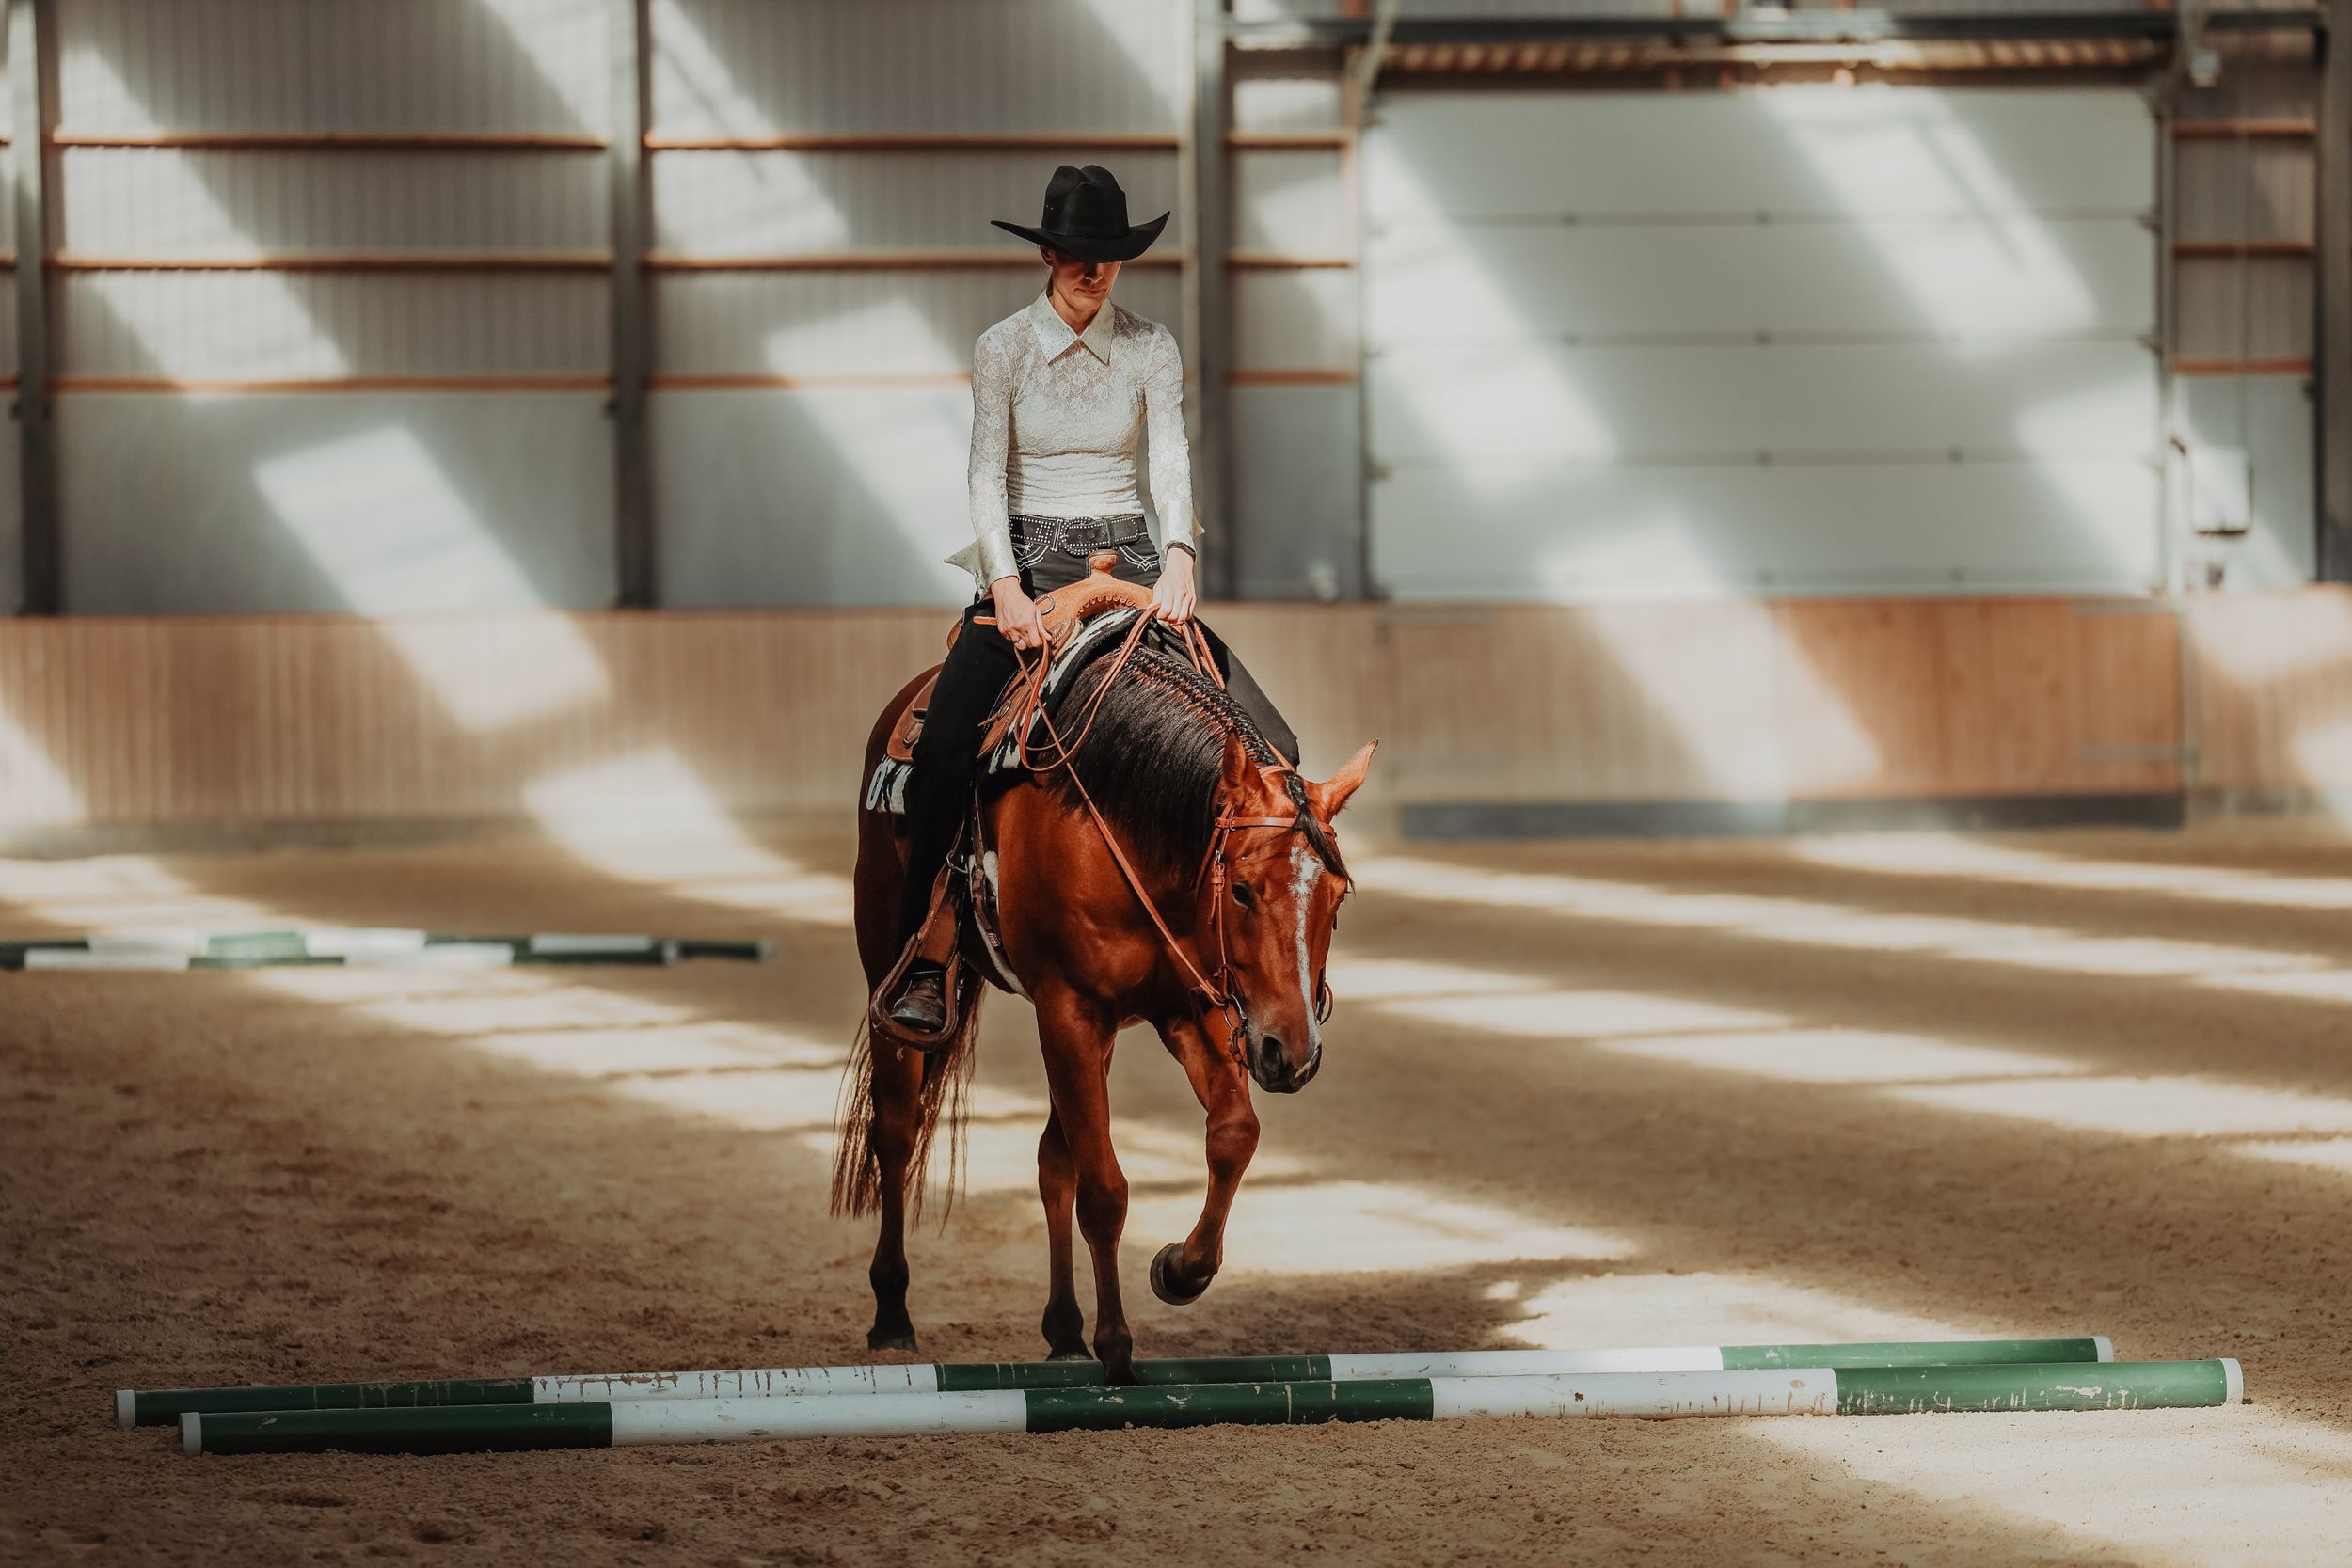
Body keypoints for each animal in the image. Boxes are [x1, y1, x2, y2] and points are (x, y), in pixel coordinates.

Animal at [834, 622, 1375, 1384]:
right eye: (1242, 890)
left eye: (1338, 894)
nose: (1290, 1053)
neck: (1127, 809)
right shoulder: (1069, 1009)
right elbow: (1106, 1189)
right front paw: (1118, 1345)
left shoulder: (1186, 1007)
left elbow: (1232, 1135)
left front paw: (1181, 1270)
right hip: (891, 963)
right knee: (896, 1131)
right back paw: (892, 1315)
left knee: (1051, 1159)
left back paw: (1063, 1330)